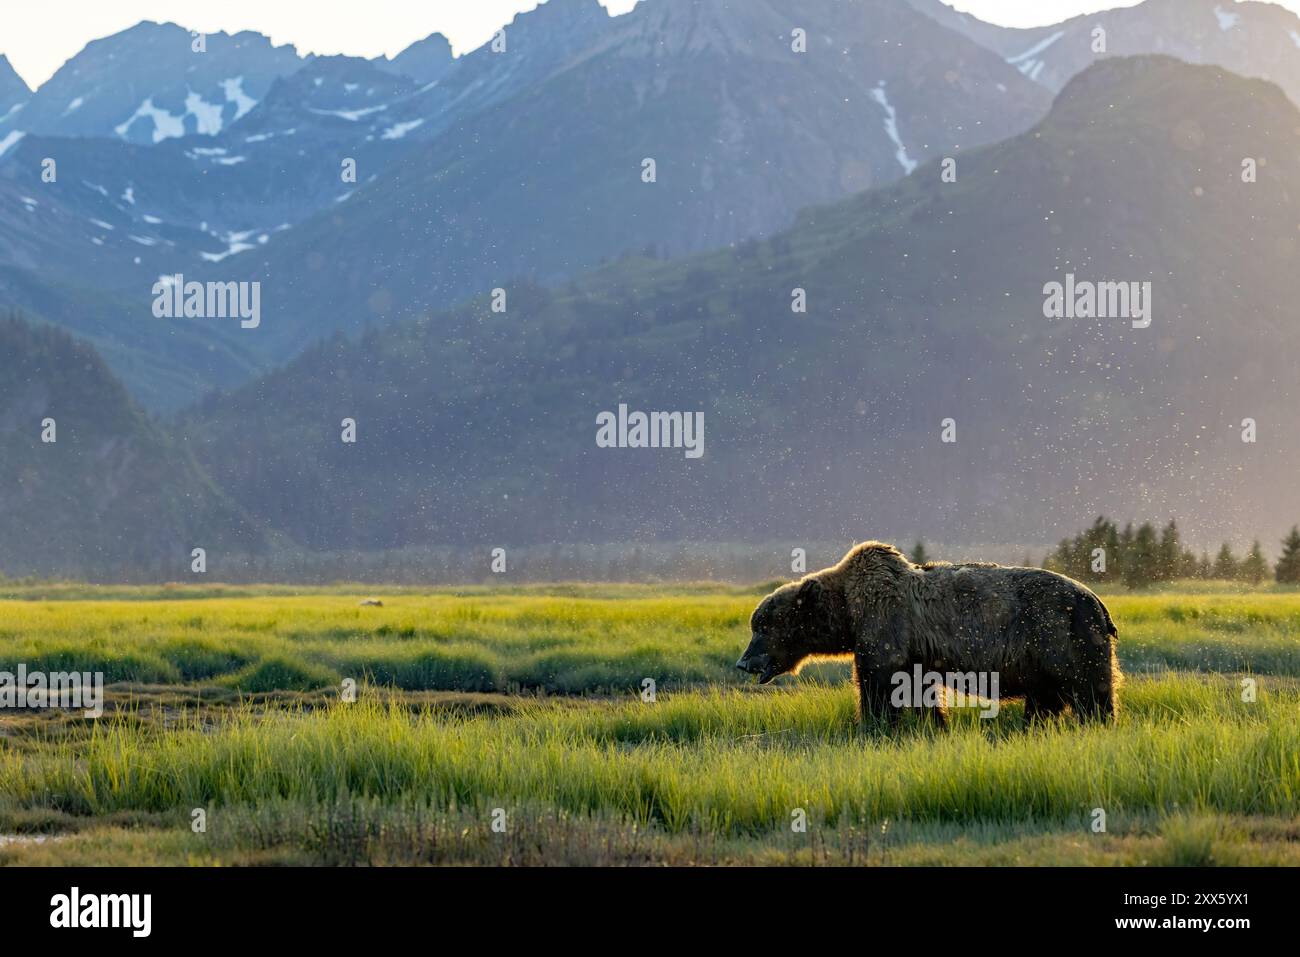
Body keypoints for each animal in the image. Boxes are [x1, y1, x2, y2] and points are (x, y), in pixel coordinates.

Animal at [735, 541, 1120, 727]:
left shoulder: (884, 627)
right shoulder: (915, 656)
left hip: (1061, 636)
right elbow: (920, 694)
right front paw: (934, 727)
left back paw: (1097, 724)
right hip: (1042, 657)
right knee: (1045, 700)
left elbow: (878, 685)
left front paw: (873, 727)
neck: (848, 609)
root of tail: (1099, 604)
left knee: (1090, 692)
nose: (744, 662)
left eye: (764, 626)